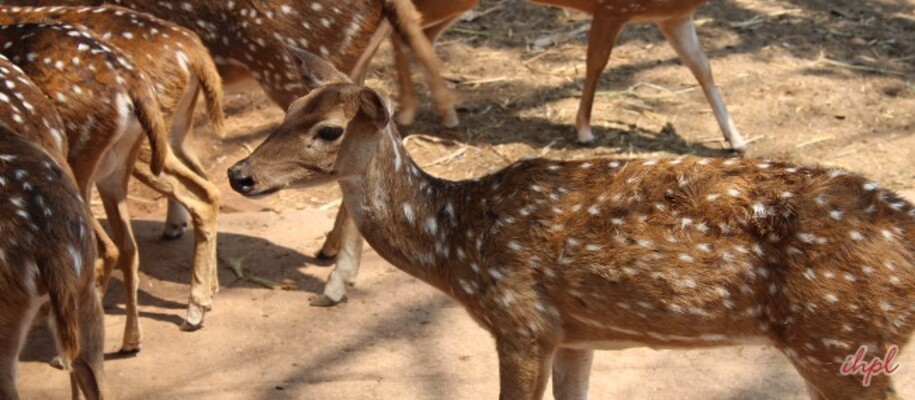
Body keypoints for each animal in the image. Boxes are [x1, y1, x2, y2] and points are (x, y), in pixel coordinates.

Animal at [229, 50, 914, 400]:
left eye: (328, 130)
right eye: (287, 109)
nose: (239, 174)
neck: (454, 243)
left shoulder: (521, 323)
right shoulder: (576, 334)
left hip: (832, 338)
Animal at [395, 0, 746, 149]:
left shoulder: (673, 17)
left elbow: (702, 68)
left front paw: (736, 139)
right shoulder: (612, 10)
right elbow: (596, 63)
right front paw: (584, 130)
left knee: (414, 33)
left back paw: (418, 109)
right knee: (400, 22)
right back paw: (422, 110)